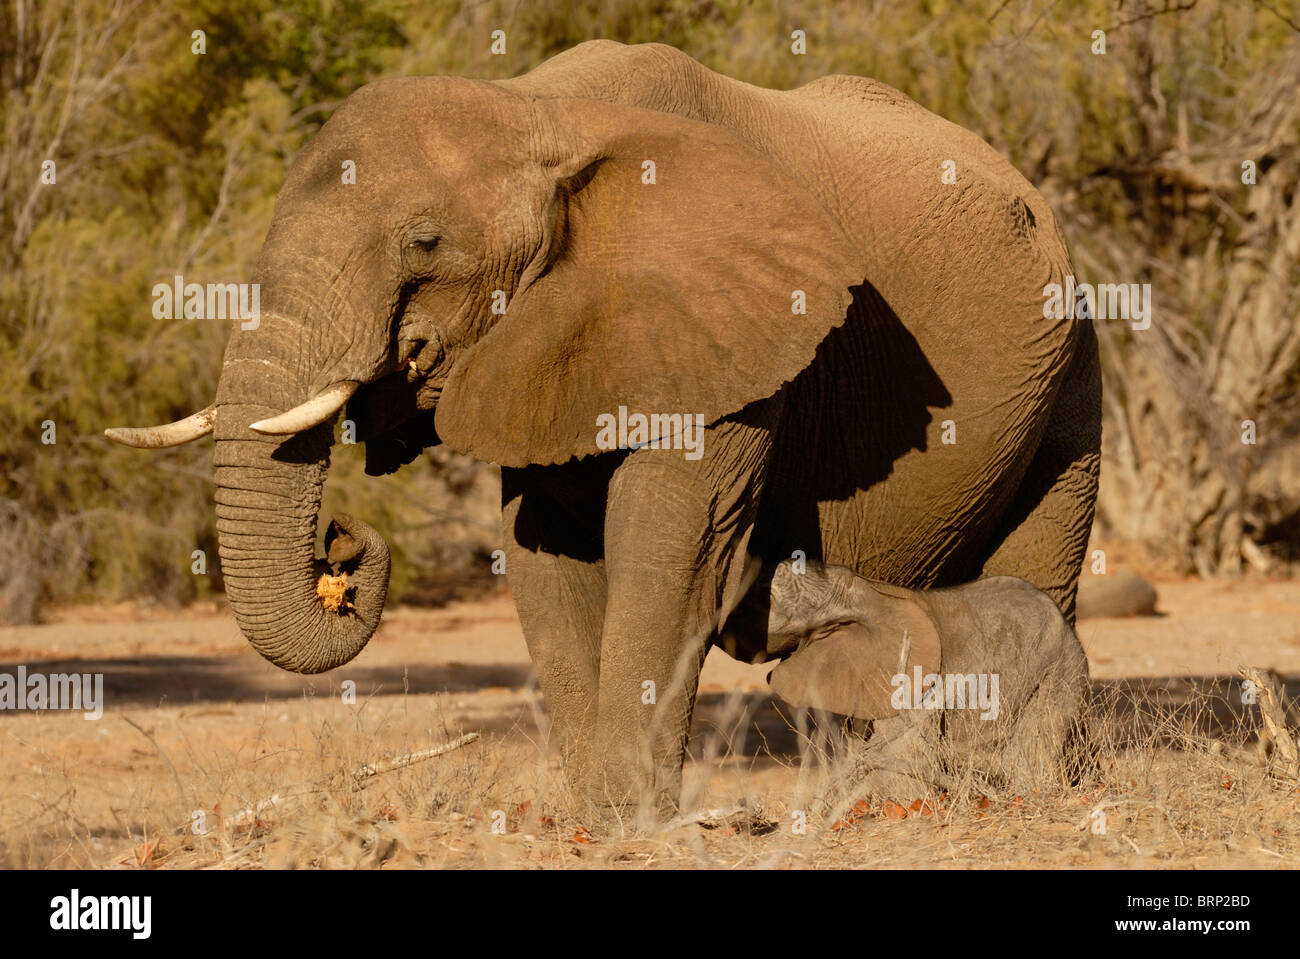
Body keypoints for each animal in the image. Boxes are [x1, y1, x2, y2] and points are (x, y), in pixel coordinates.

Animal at [720, 558, 1090, 798]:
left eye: (763, 599)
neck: (866, 590)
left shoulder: (912, 677)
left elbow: (904, 752)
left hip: (1060, 670)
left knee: (1034, 747)